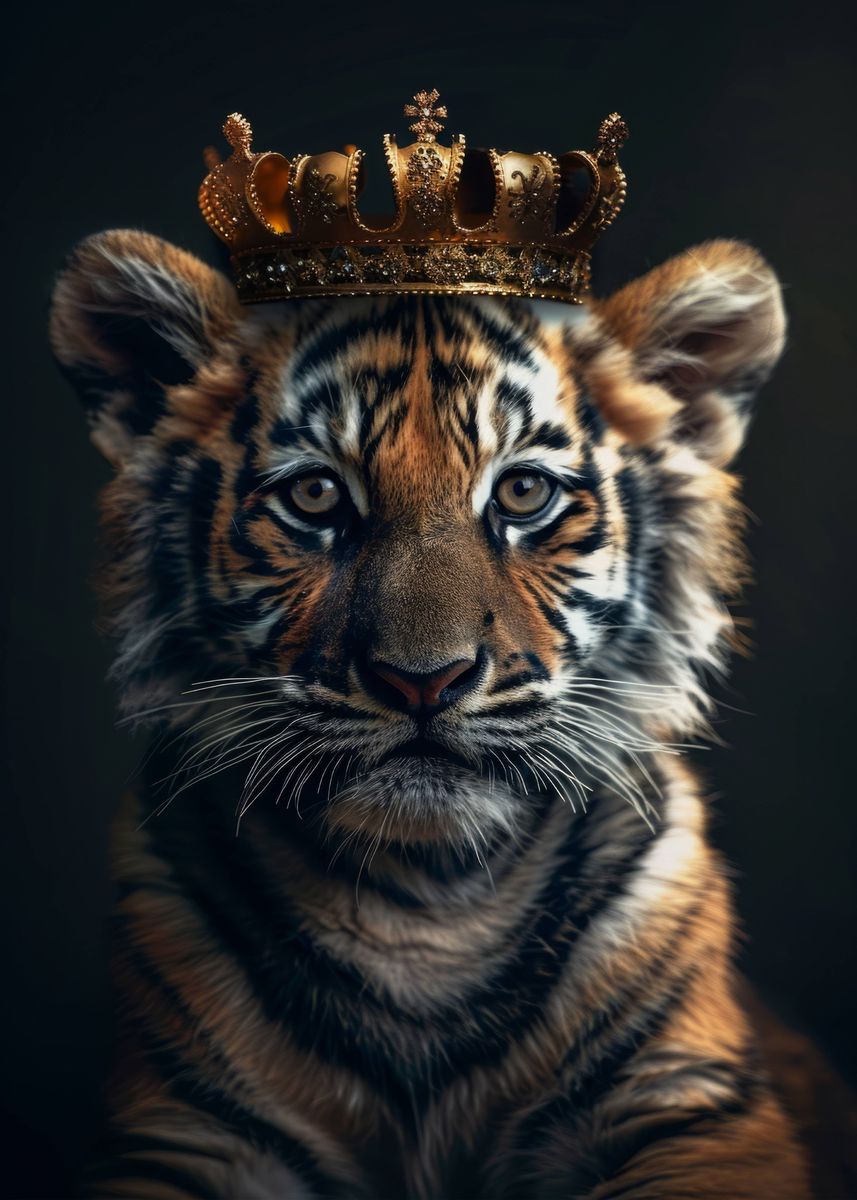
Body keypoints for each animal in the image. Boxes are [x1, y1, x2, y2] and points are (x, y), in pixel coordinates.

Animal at [49, 229, 854, 1200]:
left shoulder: (687, 1100)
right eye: (315, 496)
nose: (422, 681)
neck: (427, 907)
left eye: (521, 494)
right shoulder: (186, 1131)